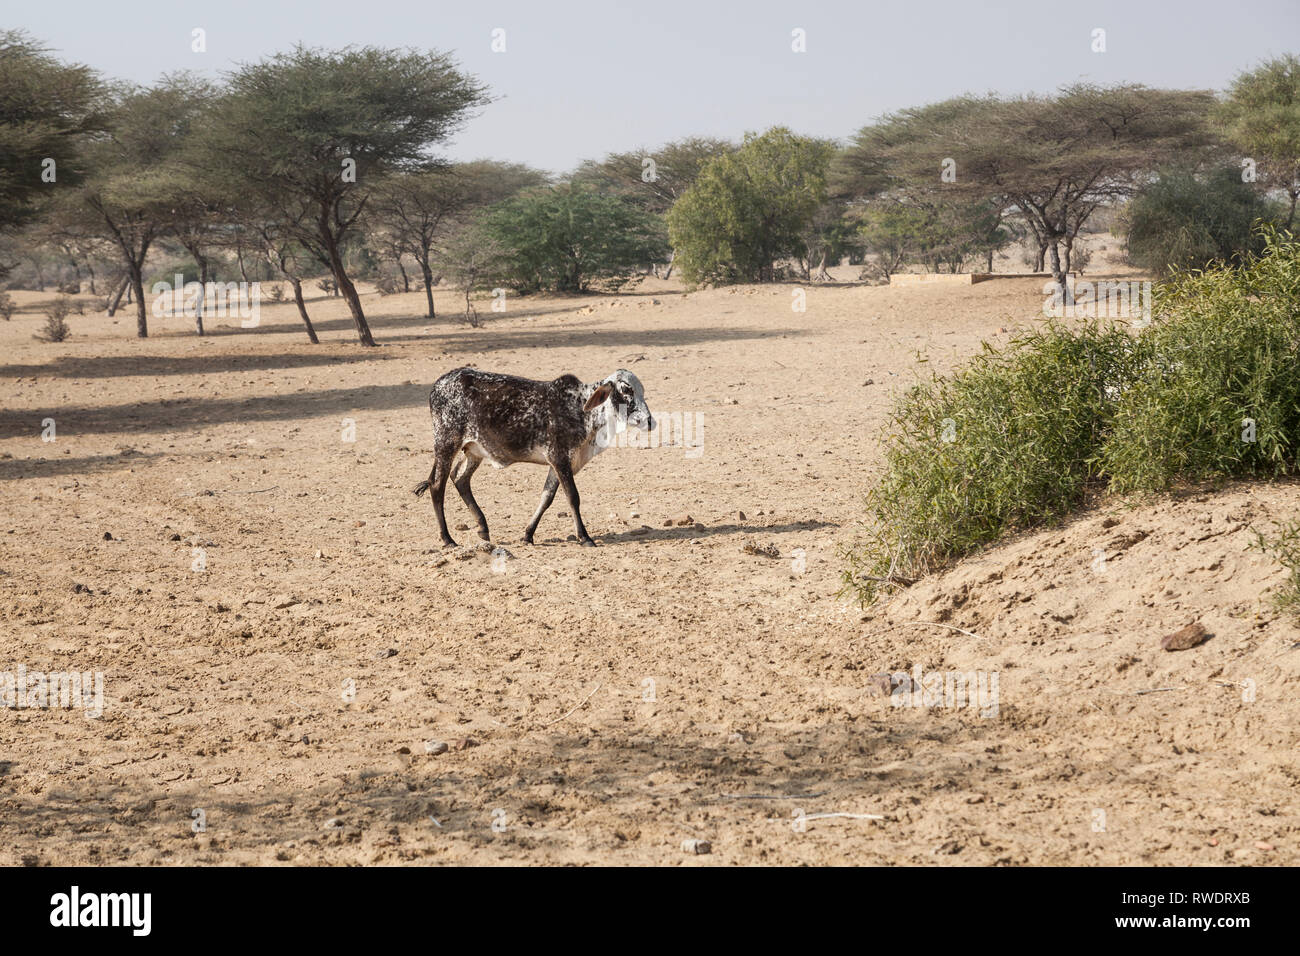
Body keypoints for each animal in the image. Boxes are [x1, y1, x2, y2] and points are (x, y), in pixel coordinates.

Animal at [413, 367, 654, 548]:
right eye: (626, 390)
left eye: (642, 390)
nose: (650, 421)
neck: (580, 408)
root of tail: (439, 384)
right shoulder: (559, 458)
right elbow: (573, 497)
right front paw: (584, 537)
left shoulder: (559, 463)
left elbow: (547, 496)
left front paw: (528, 534)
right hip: (446, 442)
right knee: (437, 485)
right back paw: (448, 539)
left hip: (473, 450)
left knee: (460, 478)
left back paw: (482, 527)